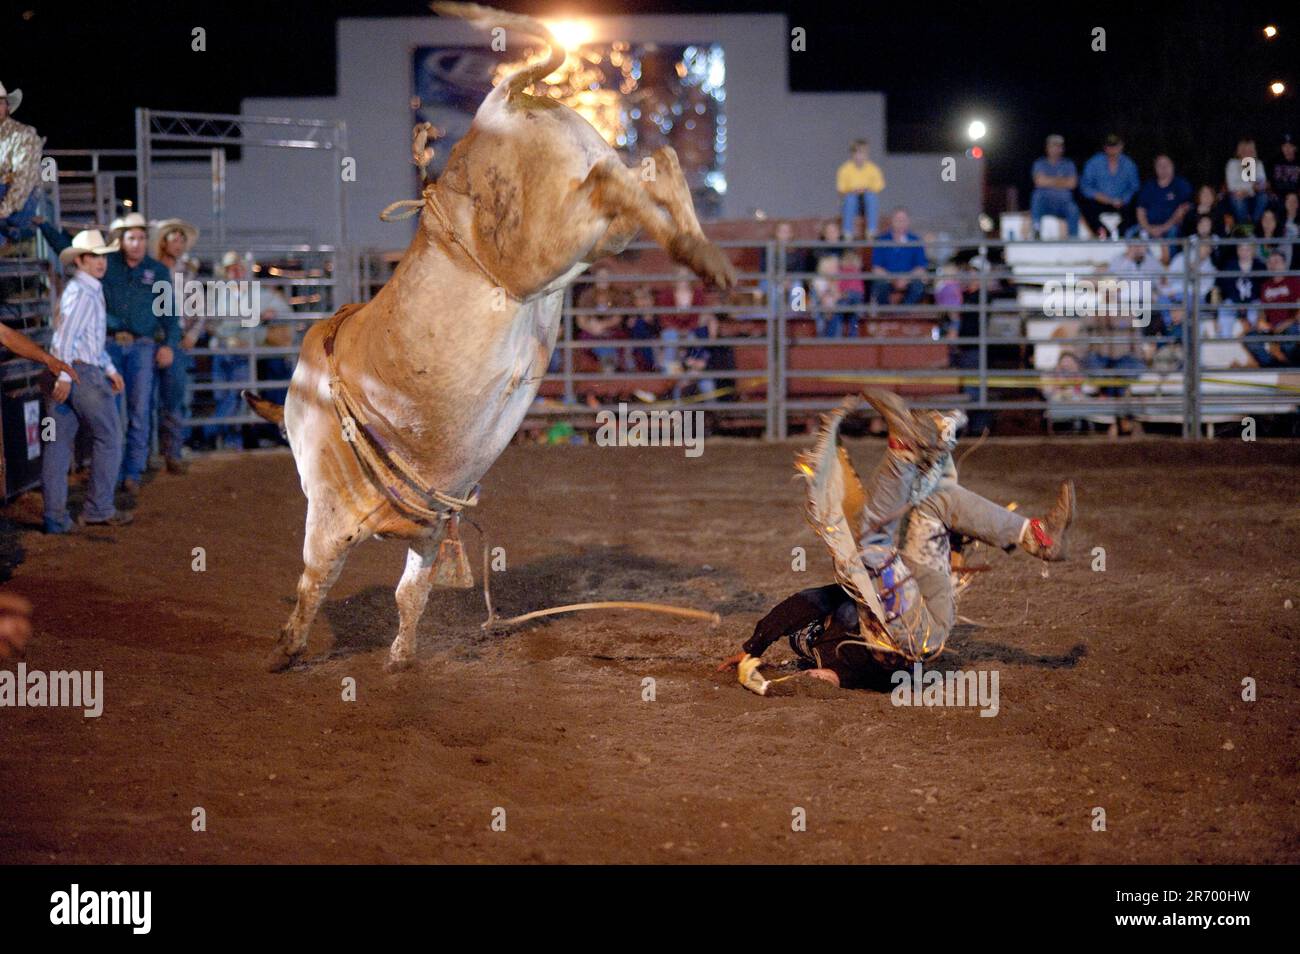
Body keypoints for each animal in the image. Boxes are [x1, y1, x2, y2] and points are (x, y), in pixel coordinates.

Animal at [245, 2, 735, 672]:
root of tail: (498, 103)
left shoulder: (327, 512)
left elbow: (313, 578)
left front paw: (285, 648)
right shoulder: (431, 527)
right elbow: (410, 591)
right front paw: (400, 656)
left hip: (538, 245)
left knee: (614, 183)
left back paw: (700, 254)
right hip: (586, 233)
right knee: (645, 170)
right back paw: (702, 249)